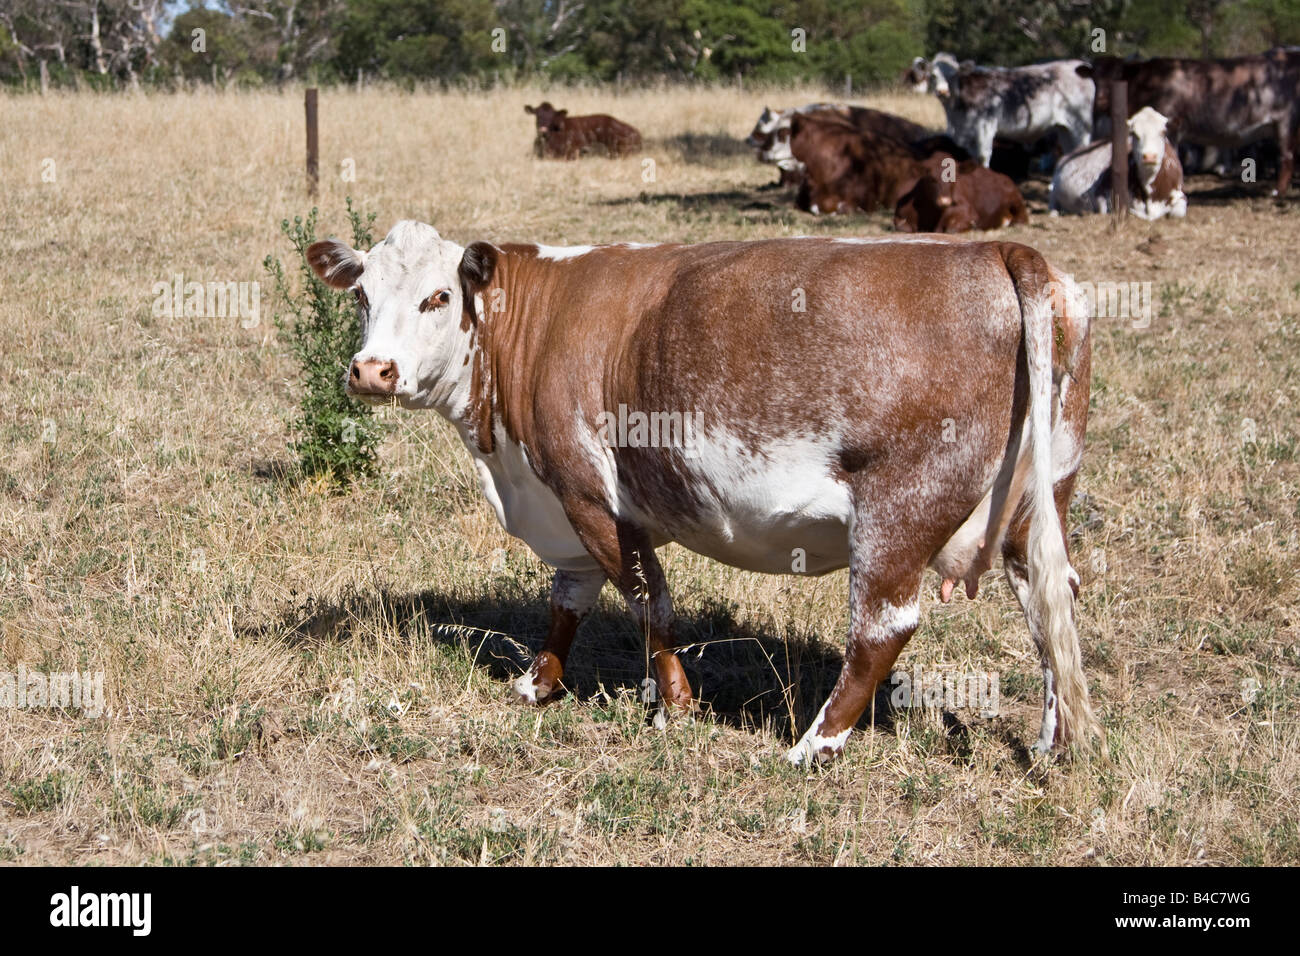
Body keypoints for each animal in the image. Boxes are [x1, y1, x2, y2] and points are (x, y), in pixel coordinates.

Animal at [305, 220, 1102, 764]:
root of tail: (995, 249)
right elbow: (569, 599)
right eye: (363, 295)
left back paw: (813, 746)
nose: (371, 370)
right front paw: (538, 684)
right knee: (1048, 599)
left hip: (898, 511)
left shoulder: (590, 495)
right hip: (1040, 498)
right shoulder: (564, 506)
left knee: (882, 627)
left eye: (438, 297)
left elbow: (647, 600)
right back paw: (1055, 744)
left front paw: (675, 705)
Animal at [894, 155, 1029, 232]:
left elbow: (950, 228)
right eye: (932, 178)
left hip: (1016, 201)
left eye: (955, 177)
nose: (945, 201)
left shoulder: (968, 212)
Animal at [927, 59, 1094, 168]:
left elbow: (982, 157)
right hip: (1065, 129)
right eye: (933, 75)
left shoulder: (985, 127)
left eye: (953, 75)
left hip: (1081, 126)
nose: (942, 91)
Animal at [1050, 106, 1187, 220]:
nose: (1149, 156)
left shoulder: (1179, 195)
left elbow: (1179, 211)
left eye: (1163, 132)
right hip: (1054, 190)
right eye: (1134, 134)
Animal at [1080, 49, 1300, 196]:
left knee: (1287, 157)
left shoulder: (1170, 124)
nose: (1100, 101)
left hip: (1286, 122)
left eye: (1118, 75)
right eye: (1094, 78)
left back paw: (1277, 192)